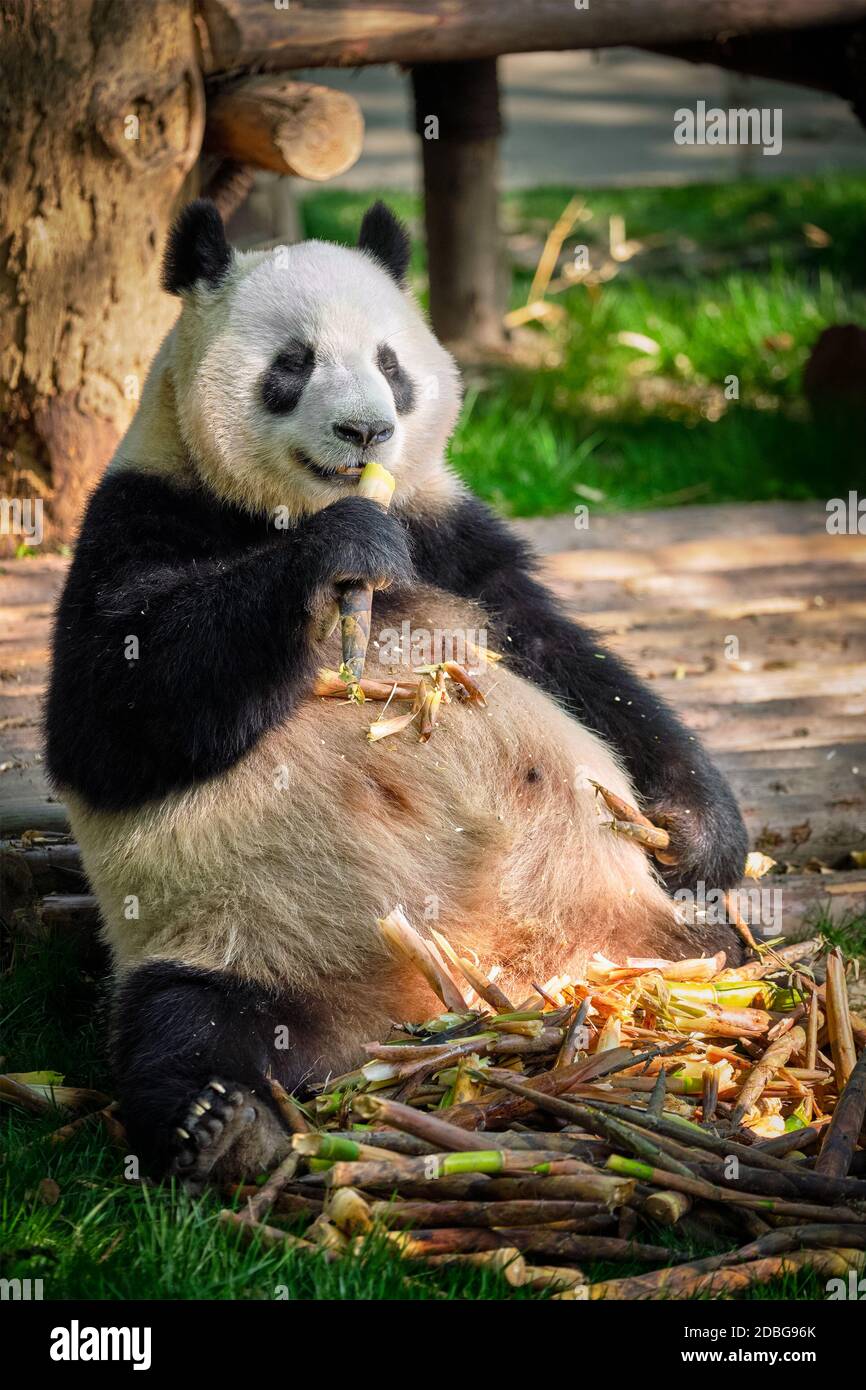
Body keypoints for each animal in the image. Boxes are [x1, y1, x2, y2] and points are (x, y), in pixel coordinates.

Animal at [46, 200, 748, 1184]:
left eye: (389, 365)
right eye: (293, 363)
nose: (367, 433)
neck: (276, 511)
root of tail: (454, 1003)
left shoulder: (448, 532)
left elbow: (567, 661)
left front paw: (697, 832)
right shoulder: (142, 513)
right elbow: (110, 712)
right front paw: (338, 553)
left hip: (627, 932)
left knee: (730, 955)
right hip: (233, 935)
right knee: (181, 1022)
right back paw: (224, 1123)